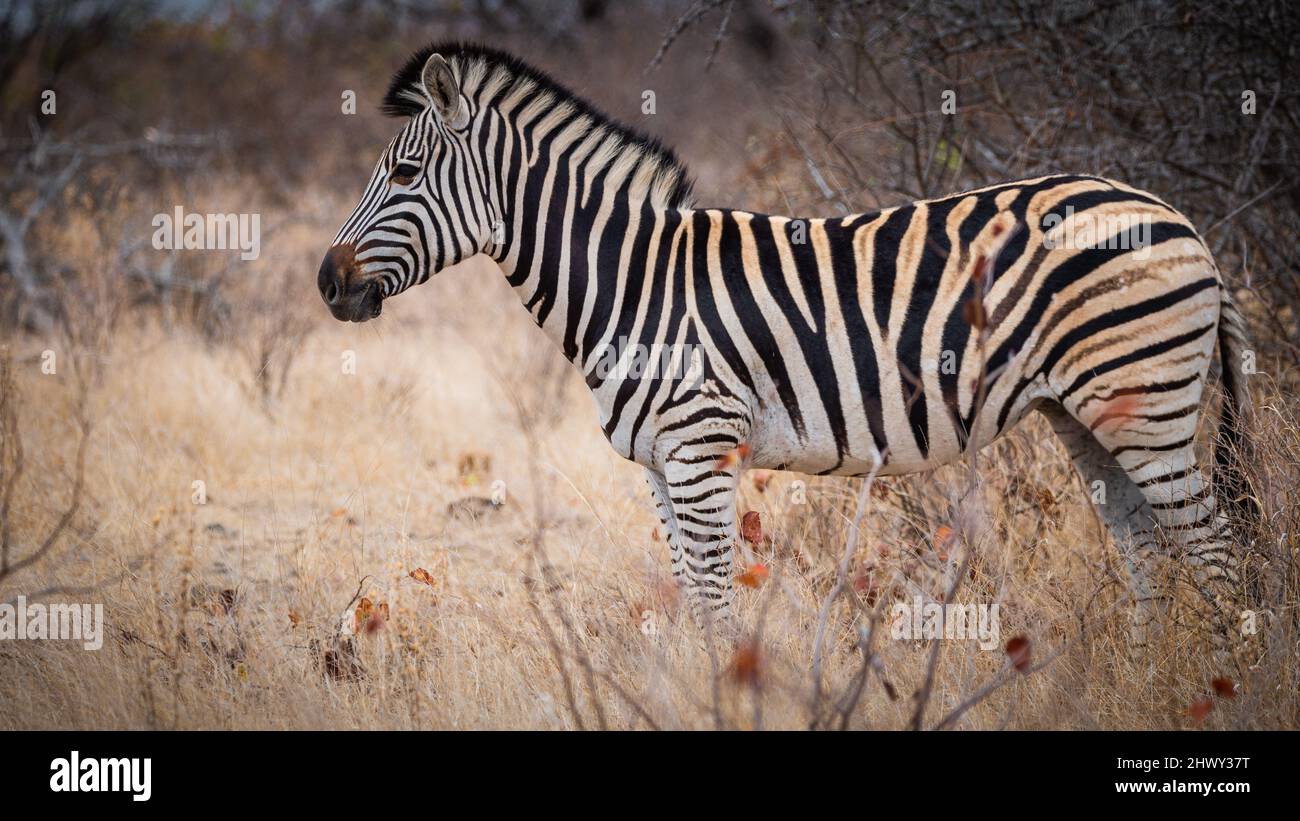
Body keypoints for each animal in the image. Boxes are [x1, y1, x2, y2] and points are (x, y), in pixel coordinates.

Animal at [318, 42, 1254, 653]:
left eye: (404, 176)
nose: (328, 282)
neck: (630, 282)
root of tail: (1180, 218)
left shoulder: (700, 447)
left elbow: (717, 603)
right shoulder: (660, 463)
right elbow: (696, 603)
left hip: (1149, 405)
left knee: (1215, 553)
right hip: (1087, 412)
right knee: (1149, 554)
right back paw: (1150, 679)